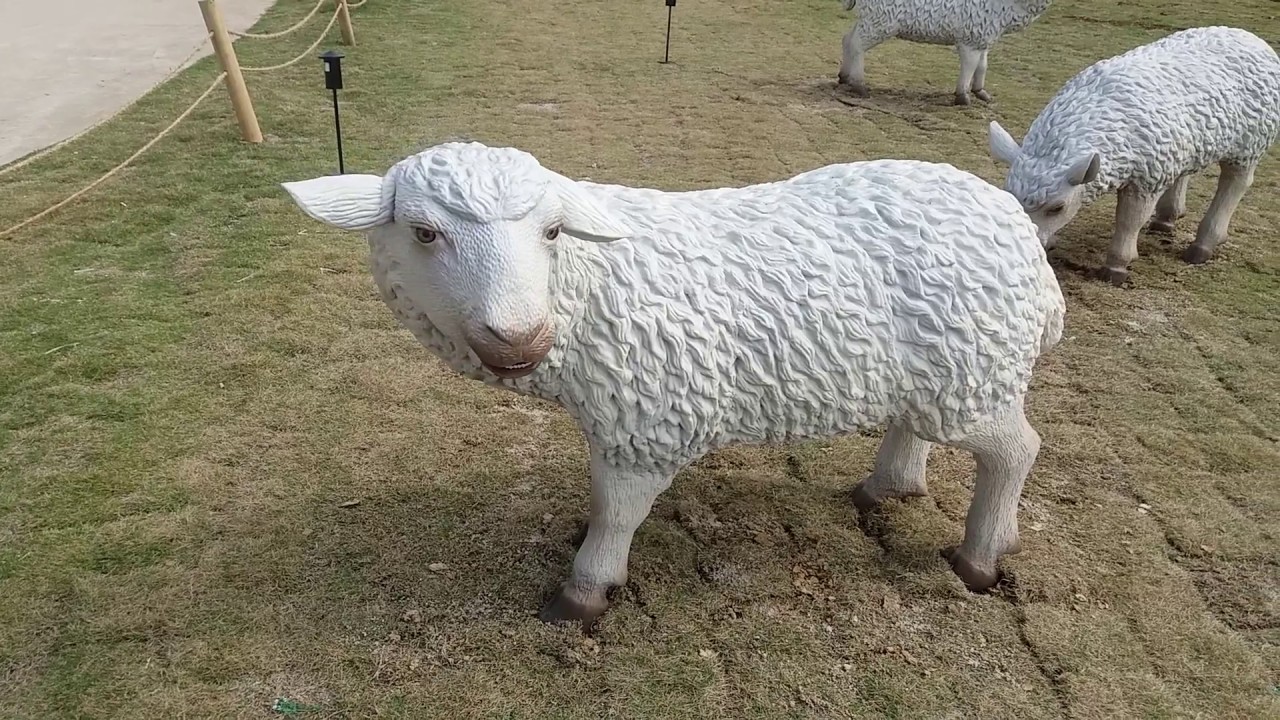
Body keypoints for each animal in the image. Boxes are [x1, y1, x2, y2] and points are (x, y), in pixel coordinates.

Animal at [281, 141, 1066, 627]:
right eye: (423, 232)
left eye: (552, 233)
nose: (521, 337)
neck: (585, 291)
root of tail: (1017, 228)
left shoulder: (649, 421)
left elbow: (616, 510)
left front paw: (585, 591)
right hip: (943, 369)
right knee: (920, 428)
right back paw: (887, 488)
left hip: (980, 370)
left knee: (1015, 450)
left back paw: (980, 557)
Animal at [836, 0, 1054, 105]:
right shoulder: (970, 38)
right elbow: (970, 66)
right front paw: (963, 97)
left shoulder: (983, 36)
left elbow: (983, 65)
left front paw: (981, 92)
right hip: (880, 22)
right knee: (857, 45)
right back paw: (859, 86)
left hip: (871, 20)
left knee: (847, 39)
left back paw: (844, 77)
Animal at [988, 26, 1280, 286]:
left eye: (1057, 208)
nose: (1026, 250)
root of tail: (1254, 40)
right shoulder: (1162, 159)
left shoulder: (1148, 176)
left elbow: (1130, 219)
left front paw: (1116, 267)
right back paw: (1167, 219)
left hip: (1251, 142)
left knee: (1235, 183)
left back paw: (1203, 245)